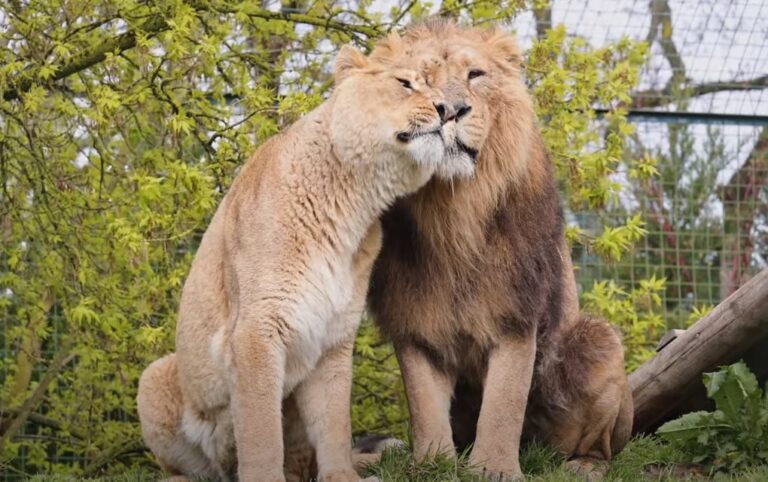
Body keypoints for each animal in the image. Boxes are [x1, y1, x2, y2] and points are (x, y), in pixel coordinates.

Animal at [136, 44, 475, 482]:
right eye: (405, 83)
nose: (448, 111)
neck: (353, 201)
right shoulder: (256, 330)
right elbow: (260, 432)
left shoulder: (333, 334)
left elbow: (333, 422)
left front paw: (343, 477)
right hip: (155, 377)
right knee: (197, 468)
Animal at [367, 19, 633, 480]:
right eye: (416, 81)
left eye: (475, 75)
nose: (450, 110)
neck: (454, 209)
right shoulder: (413, 316)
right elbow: (424, 405)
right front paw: (431, 463)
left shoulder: (515, 311)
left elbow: (504, 404)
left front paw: (493, 468)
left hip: (597, 340)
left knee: (601, 448)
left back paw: (581, 464)